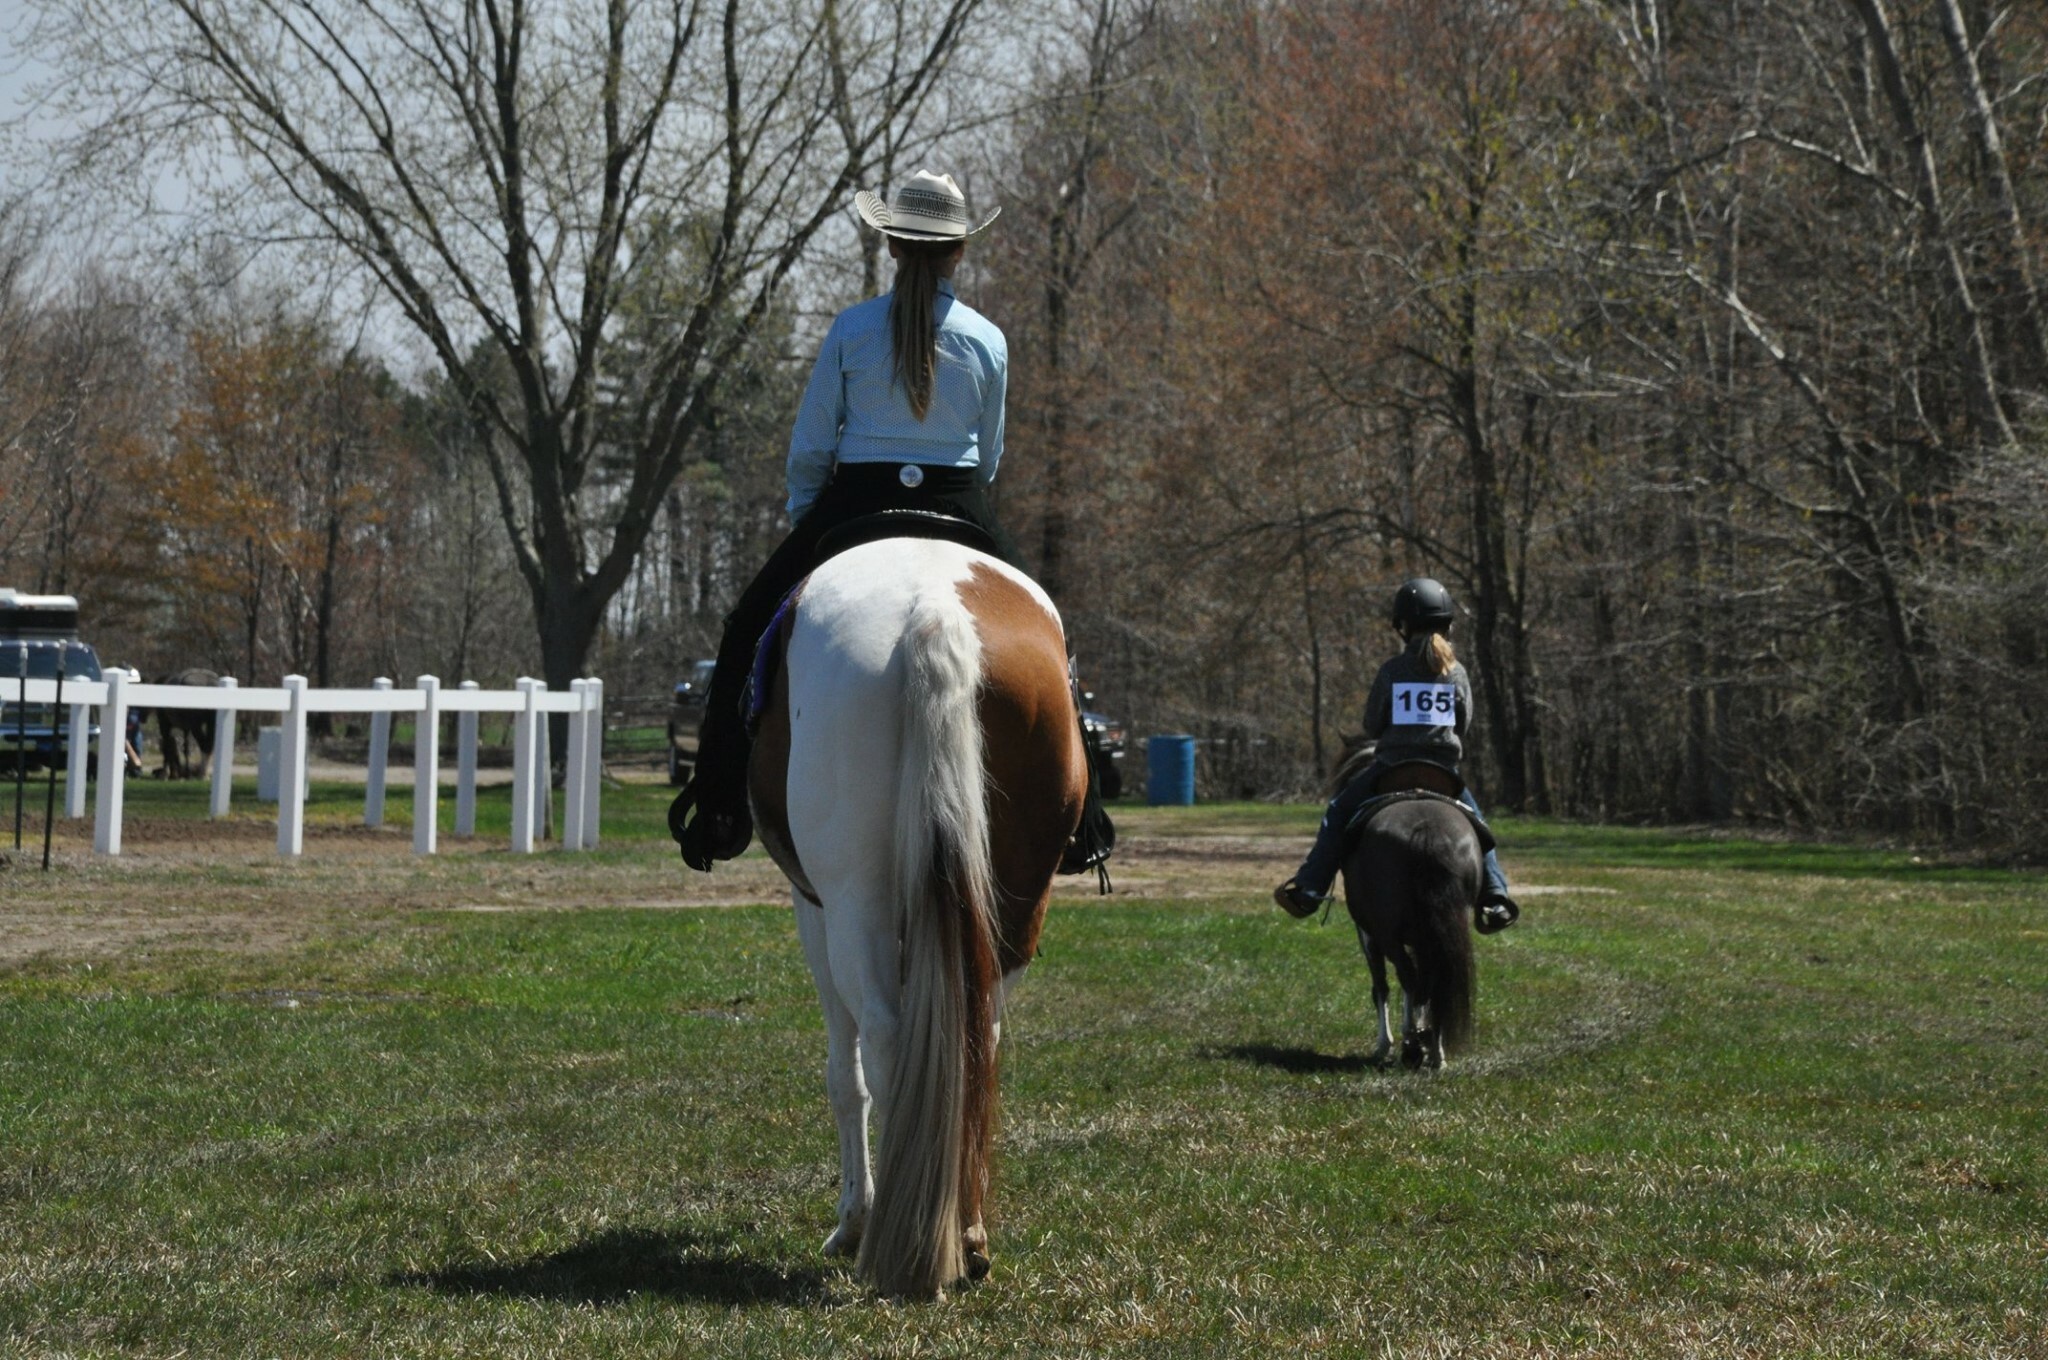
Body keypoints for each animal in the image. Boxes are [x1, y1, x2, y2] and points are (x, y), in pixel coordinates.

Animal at [746, 537, 1086, 1298]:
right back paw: (966, 1232)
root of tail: (936, 606)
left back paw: (891, 1241)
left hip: (853, 906)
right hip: (1015, 904)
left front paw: (852, 1219)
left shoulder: (813, 911)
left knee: (885, 1038)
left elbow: (844, 1075)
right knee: (978, 1037)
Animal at [1330, 738, 1480, 1070]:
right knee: (1435, 979)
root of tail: (1427, 828)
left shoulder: (1368, 935)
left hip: (1387, 934)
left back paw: (1413, 1045)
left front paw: (1386, 1044)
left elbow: (1382, 987)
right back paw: (1435, 1053)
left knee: (1407, 978)